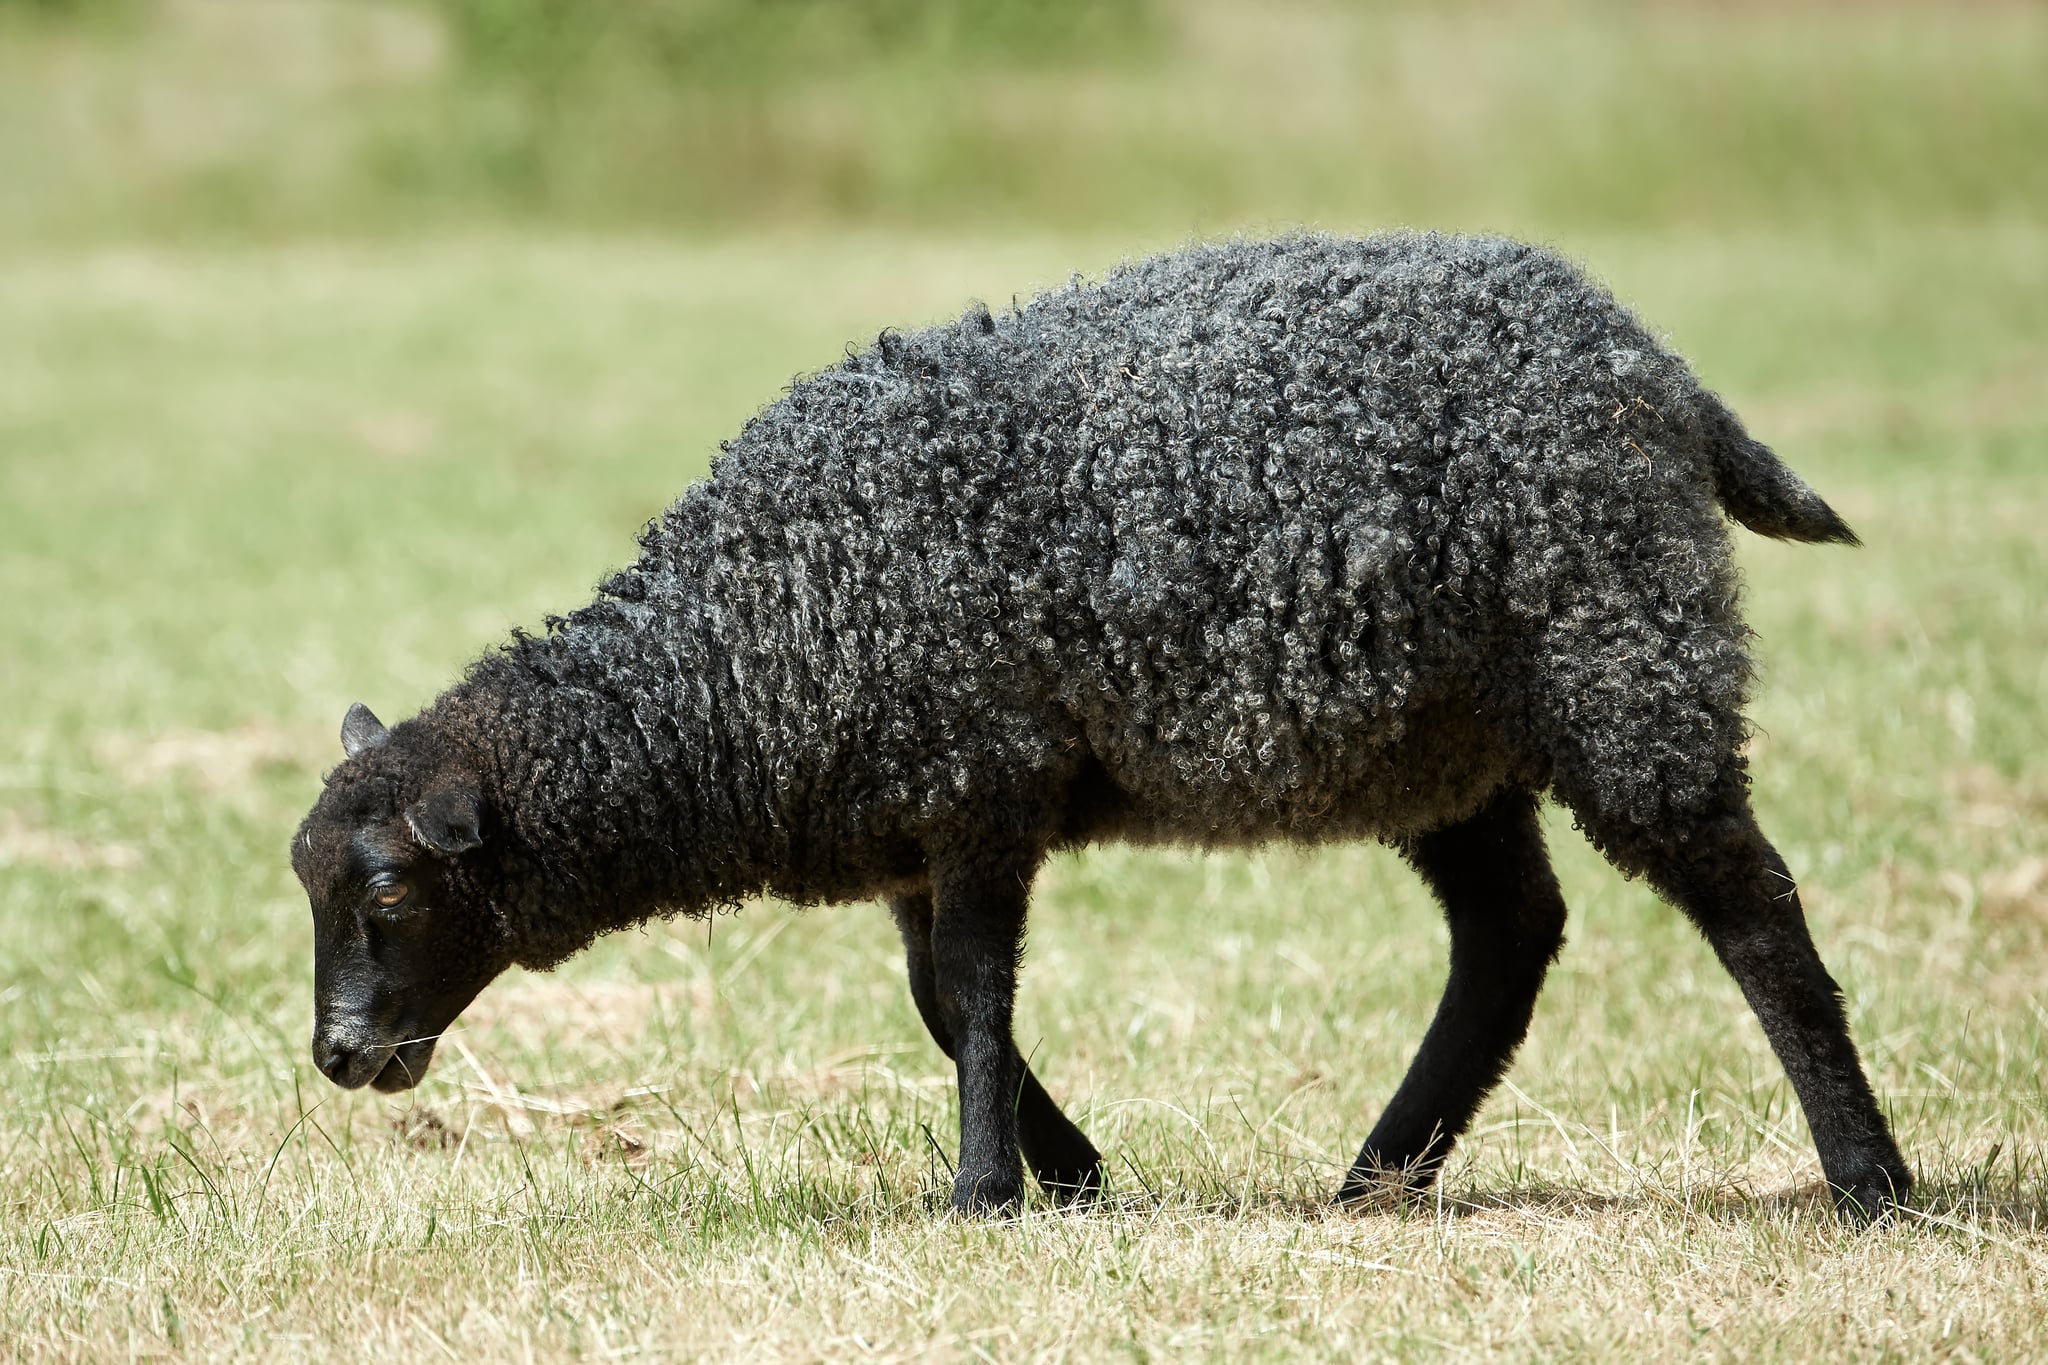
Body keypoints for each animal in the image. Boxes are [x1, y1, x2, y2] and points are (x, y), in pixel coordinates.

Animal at [292, 231, 1911, 1221]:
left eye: (392, 891)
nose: (338, 1055)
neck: (752, 644)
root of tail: (1656, 370)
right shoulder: (917, 824)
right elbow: (942, 1003)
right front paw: (1067, 1175)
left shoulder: (981, 783)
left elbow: (971, 995)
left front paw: (986, 1192)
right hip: (1445, 740)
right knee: (1511, 933)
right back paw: (1379, 1177)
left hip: (1621, 662)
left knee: (1752, 910)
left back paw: (1869, 1179)